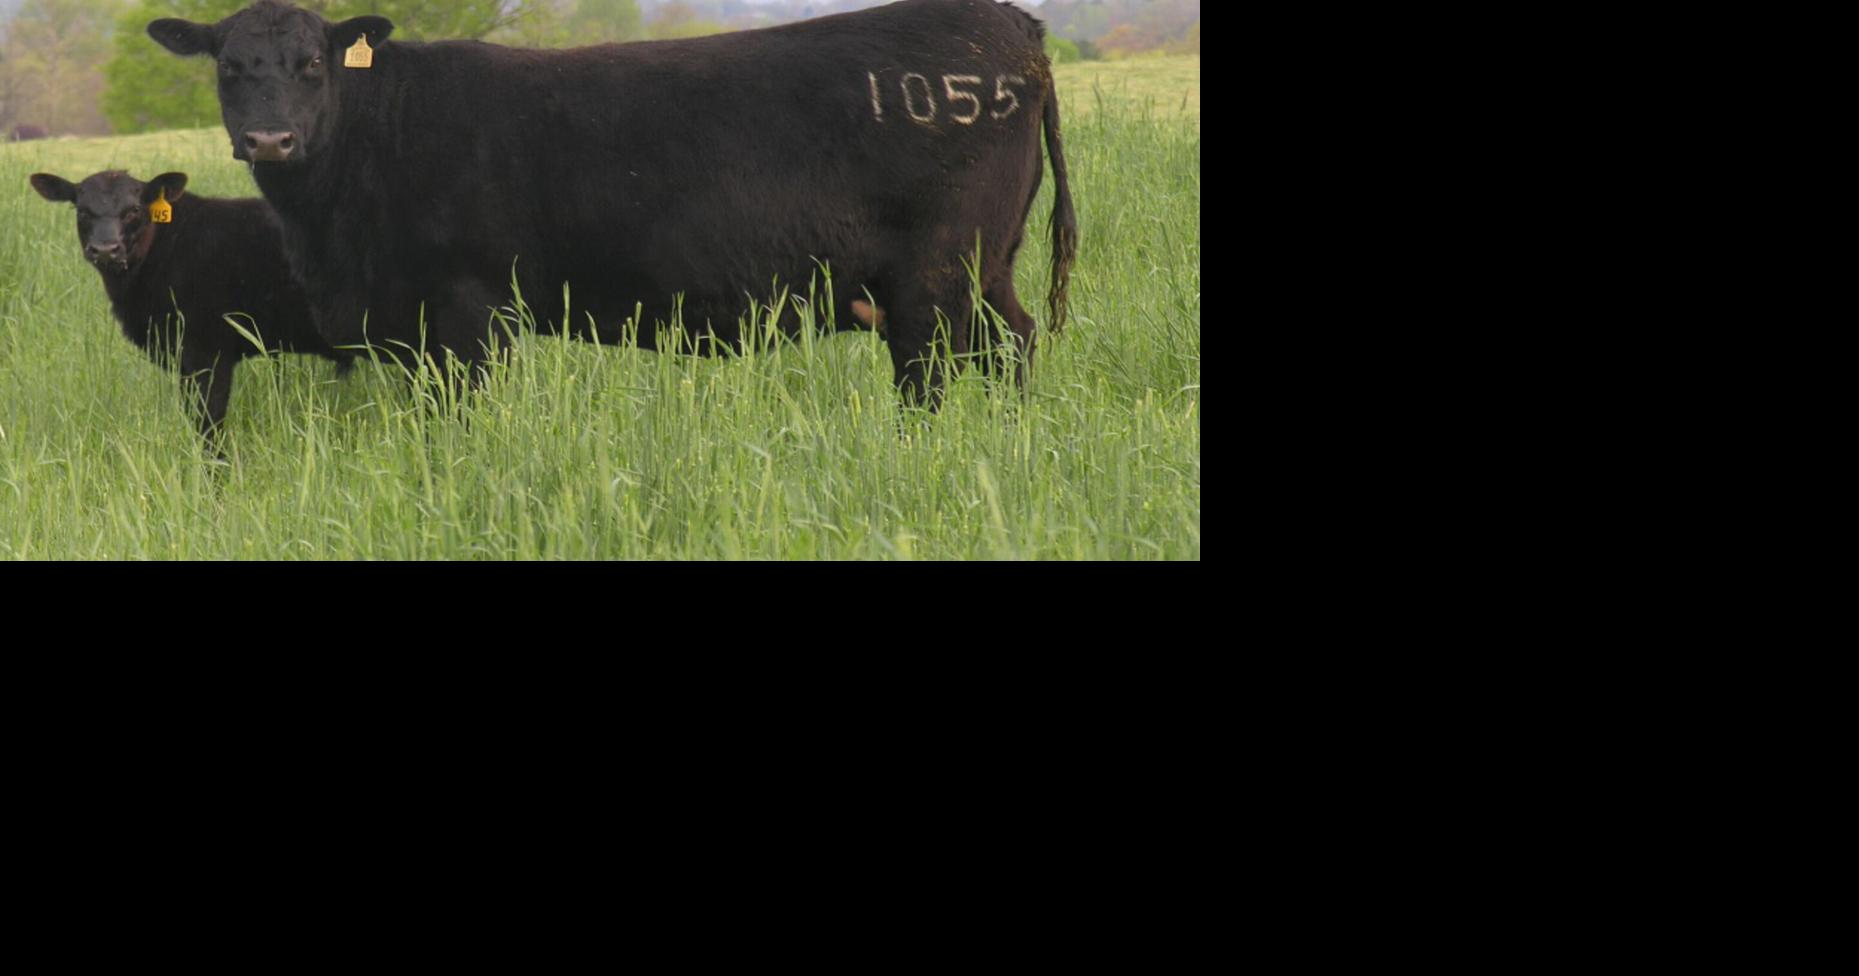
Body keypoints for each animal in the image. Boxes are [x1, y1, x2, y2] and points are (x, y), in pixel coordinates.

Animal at [148, 0, 1077, 408]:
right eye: (229, 67)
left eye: (312, 64)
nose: (270, 140)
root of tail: (1012, 26)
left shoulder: (469, 308)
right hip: (987, 266)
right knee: (1013, 344)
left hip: (934, 272)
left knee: (932, 367)